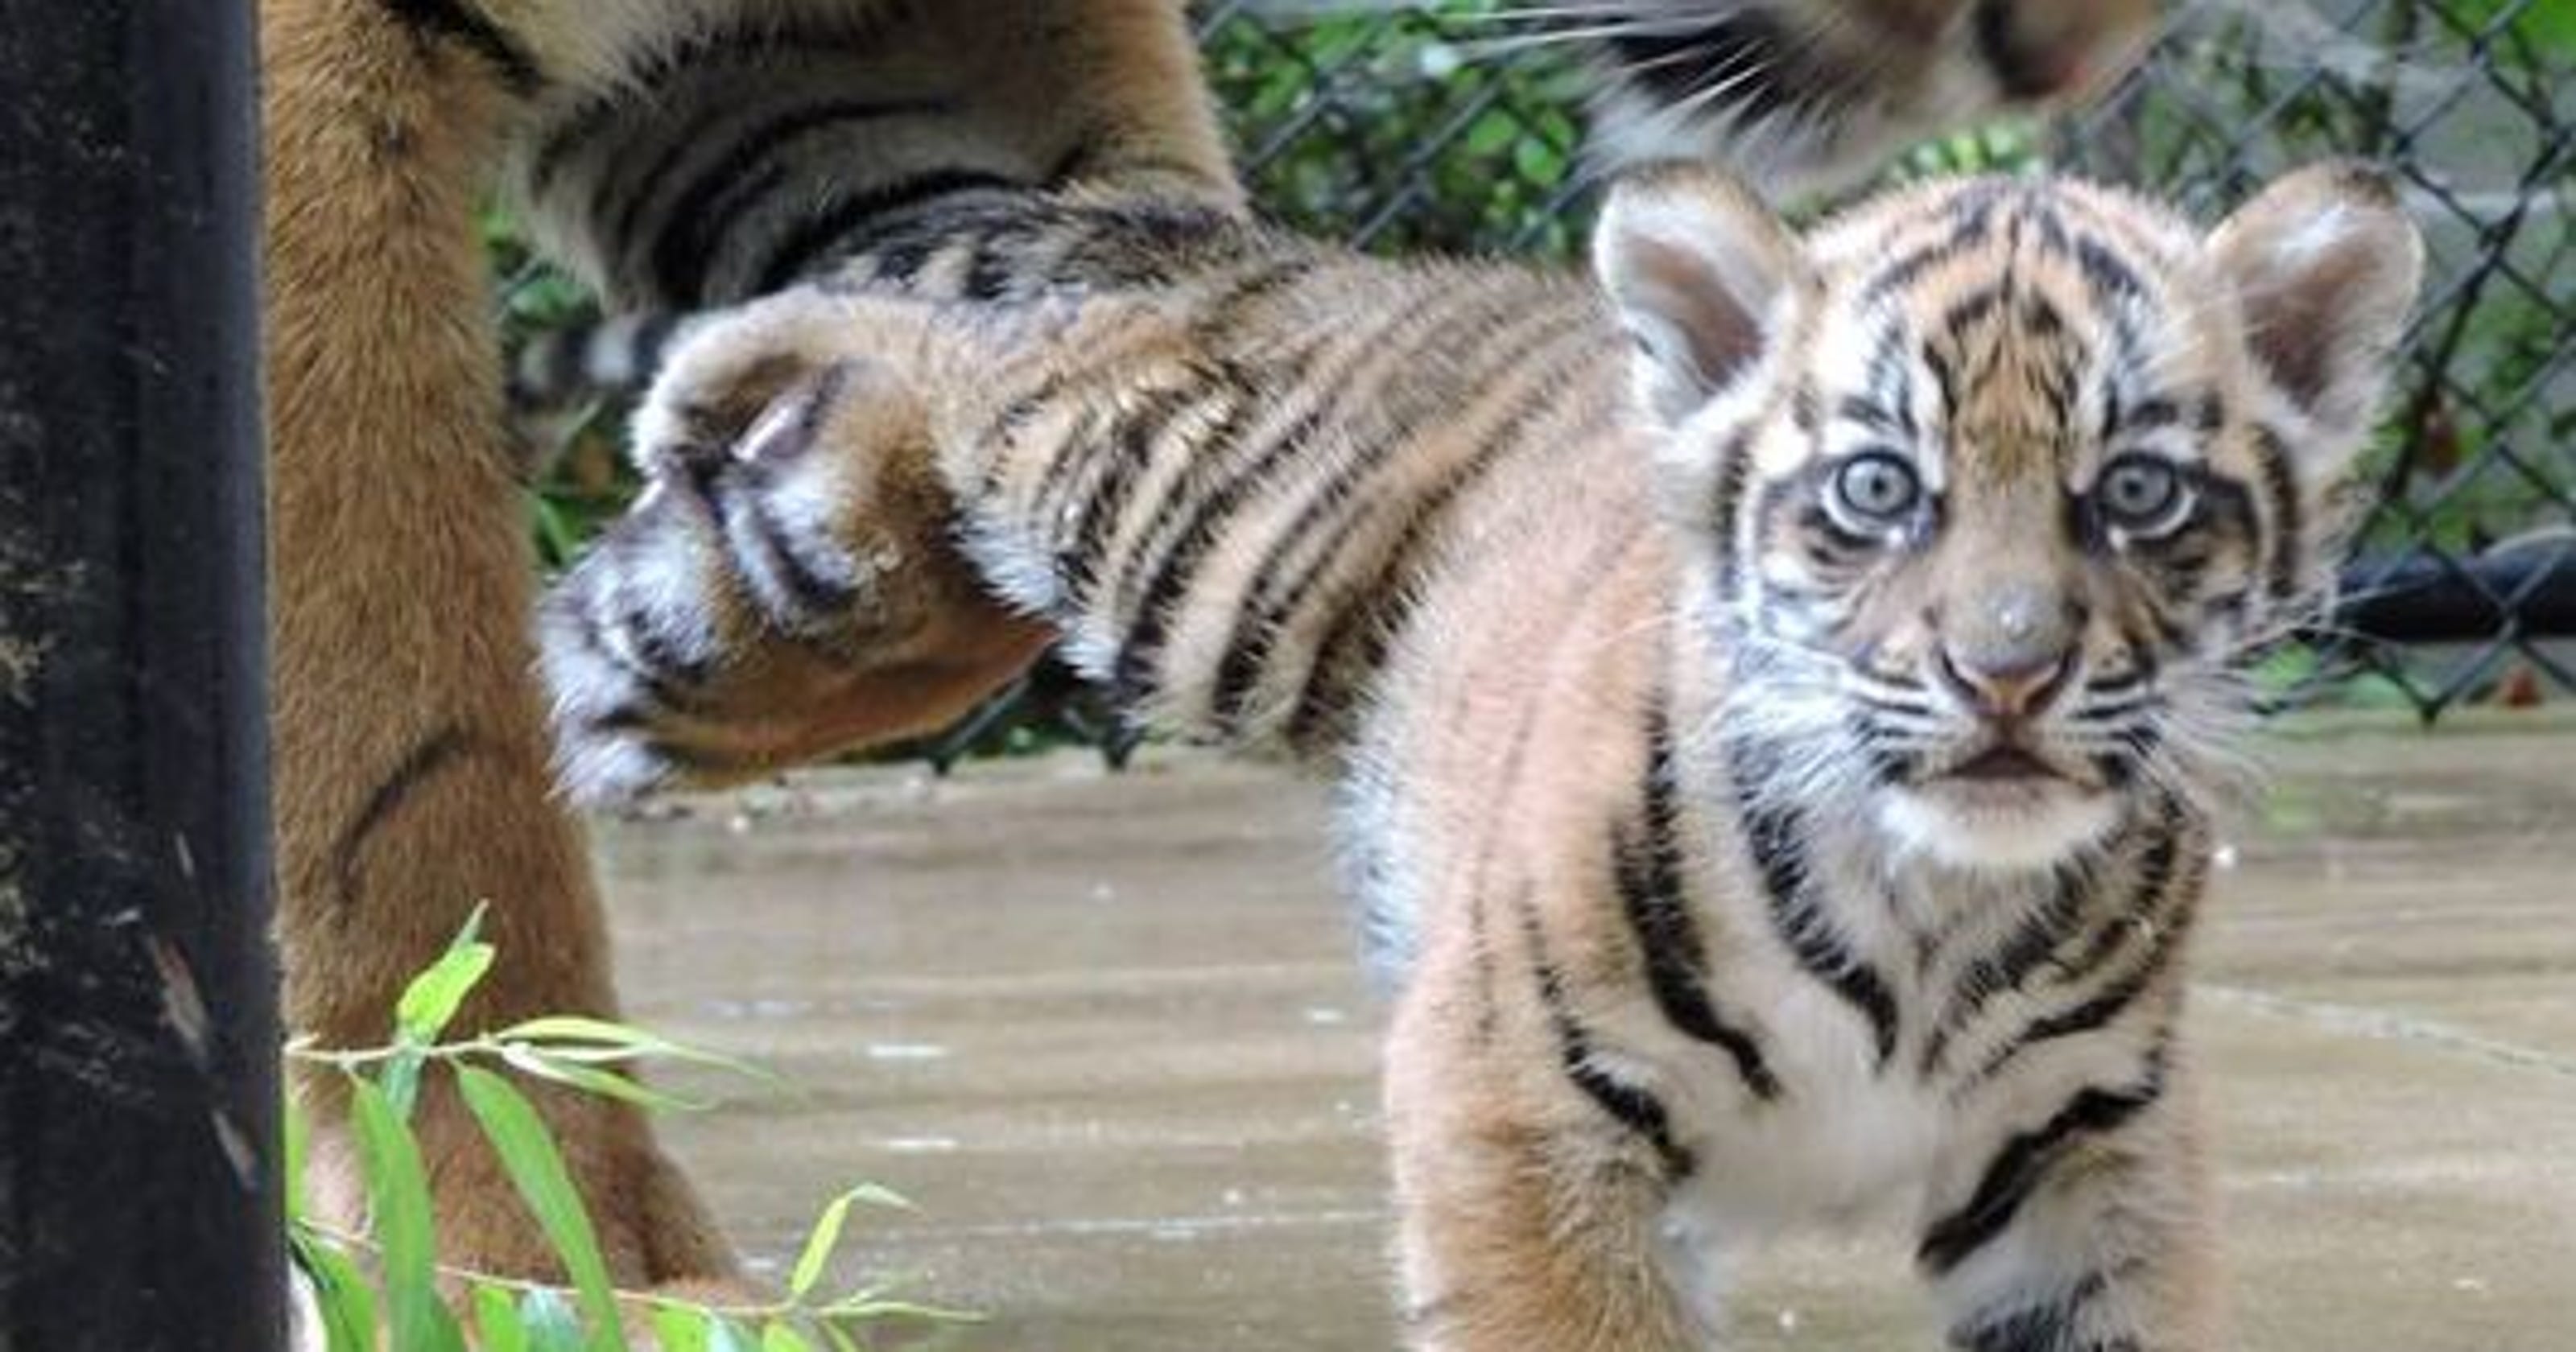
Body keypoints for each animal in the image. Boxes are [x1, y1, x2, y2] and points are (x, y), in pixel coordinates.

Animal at [535, 161, 2422, 1348]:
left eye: (2138, 493)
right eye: (1881, 490)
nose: (2009, 673)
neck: (1933, 903)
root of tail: (1425, 289)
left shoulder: (2090, 1150)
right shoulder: (1514, 1097)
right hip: (1199, 532)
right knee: (996, 359)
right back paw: (717, 384)